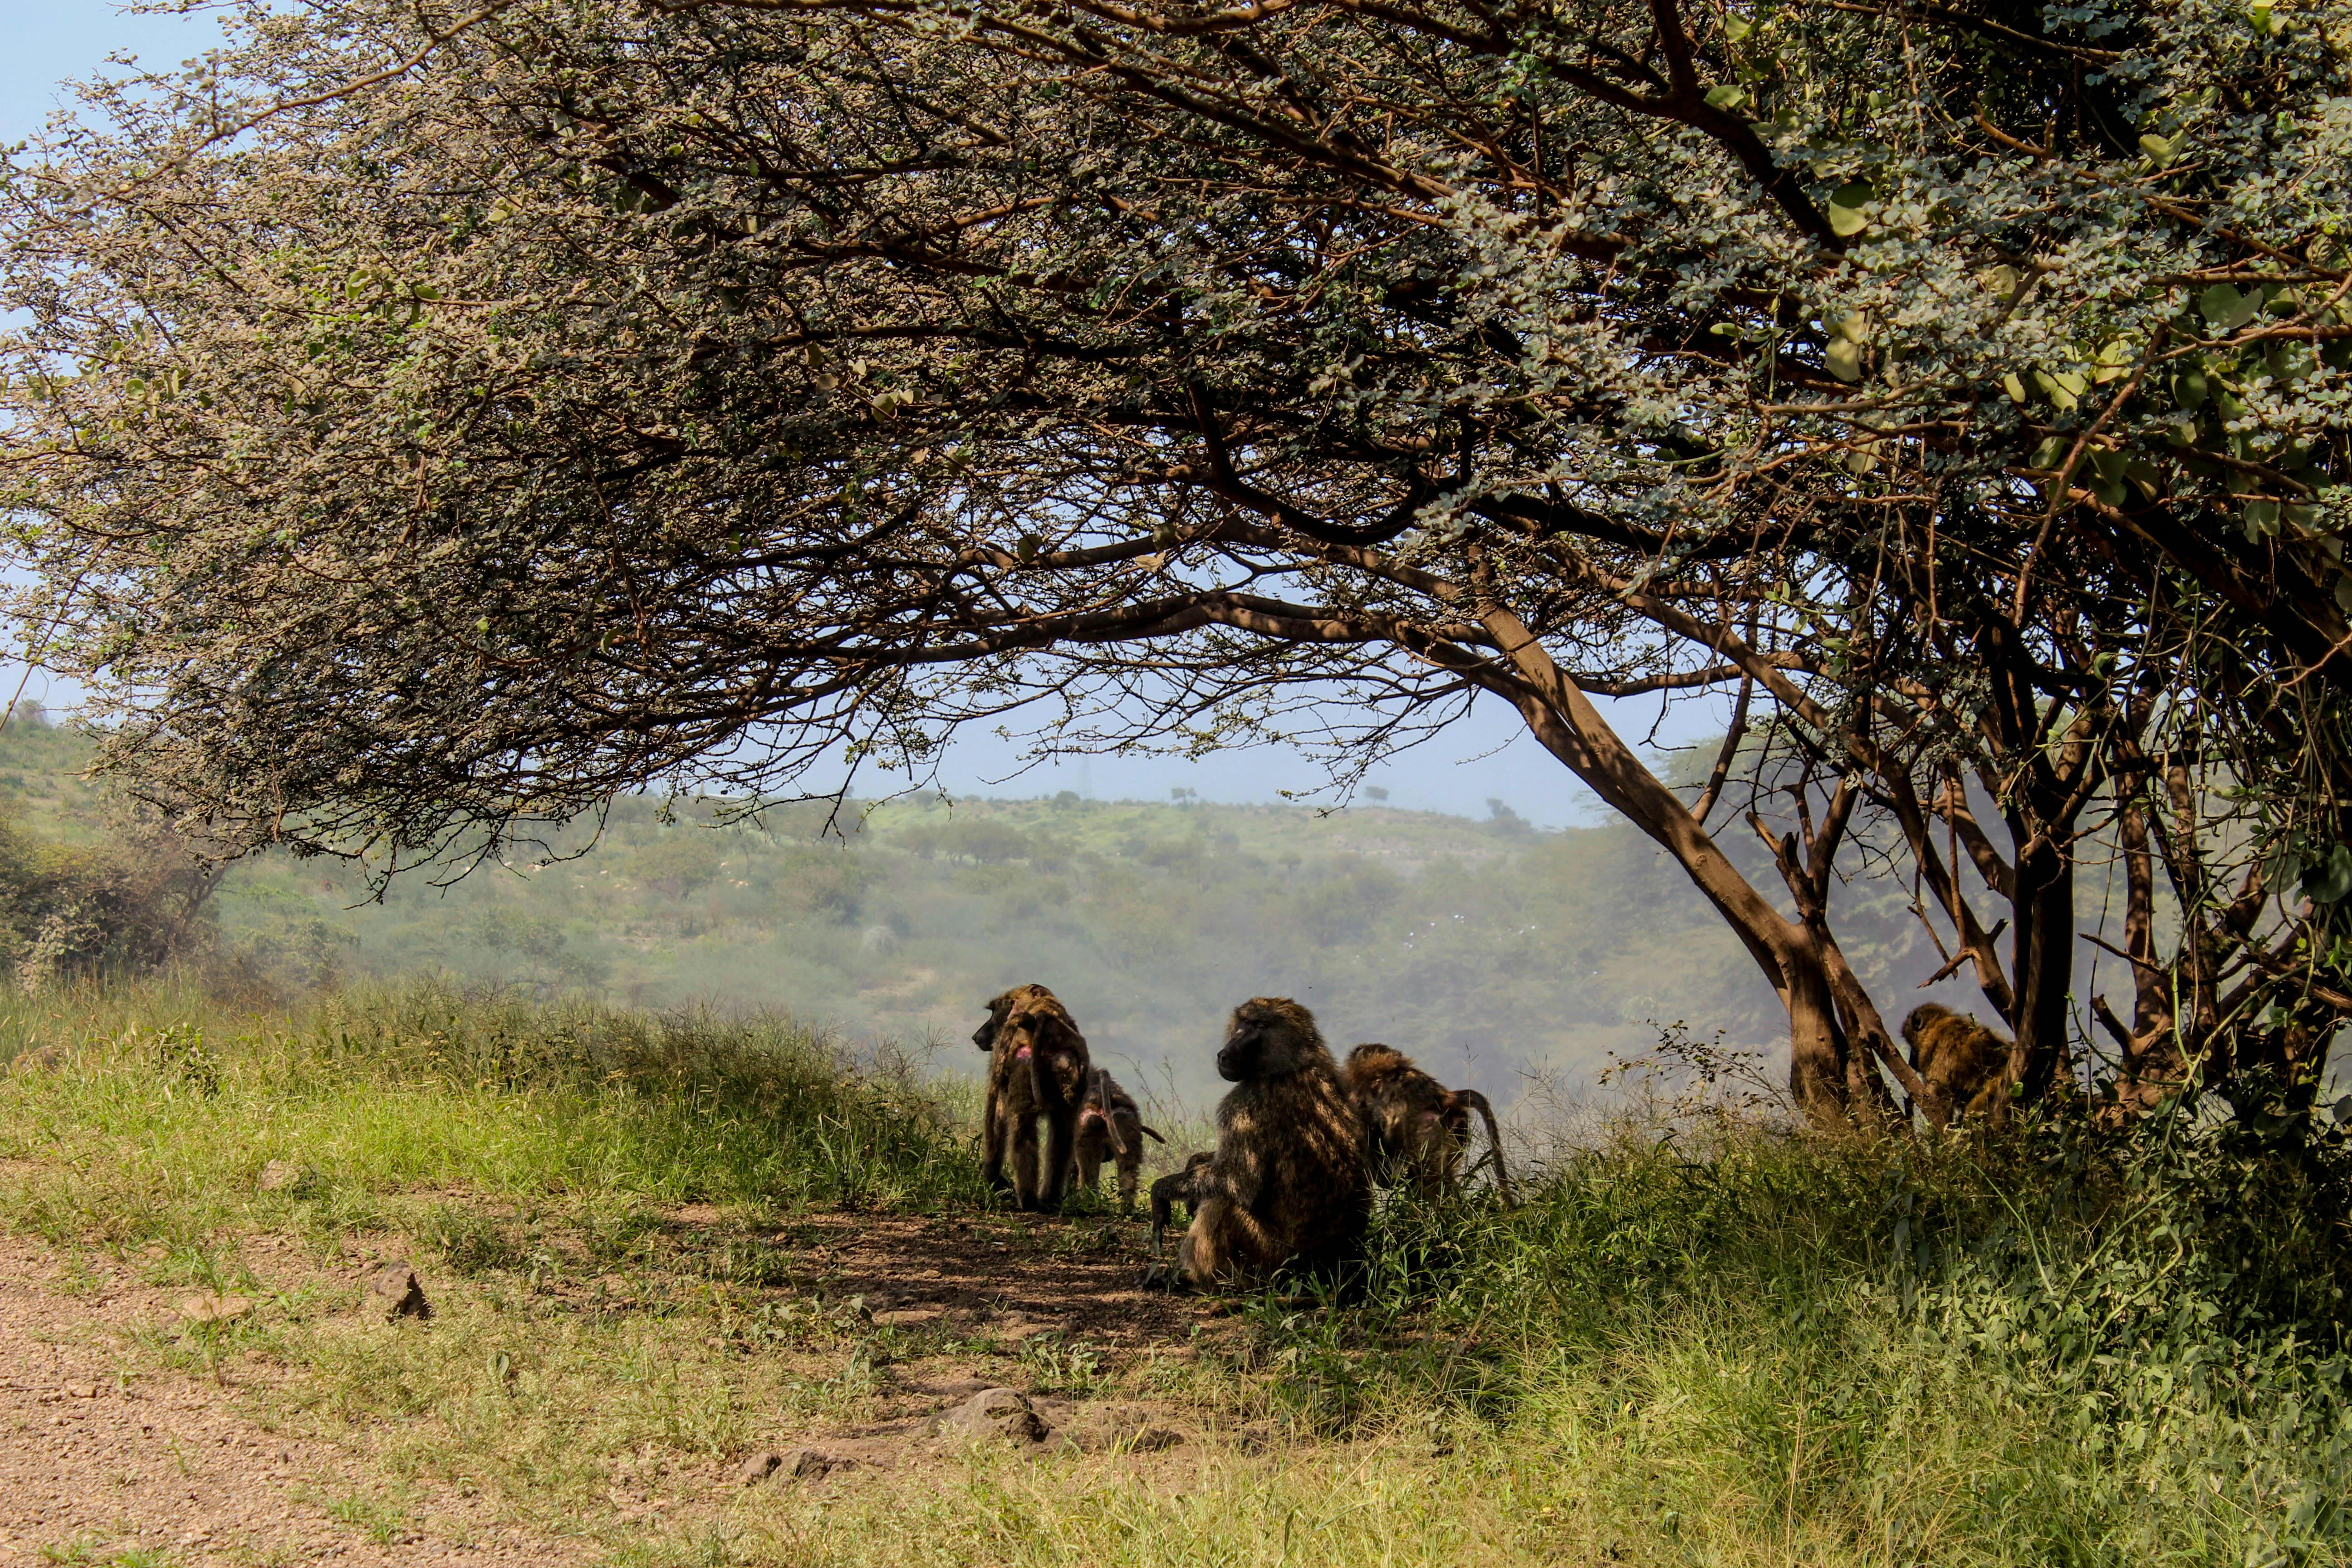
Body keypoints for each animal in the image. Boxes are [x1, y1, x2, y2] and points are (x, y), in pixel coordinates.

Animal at [972, 983, 1092, 1211]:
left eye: (995, 1011)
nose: (977, 1036)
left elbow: (997, 1115)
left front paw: (994, 1180)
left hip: (1025, 1064)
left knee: (1023, 1130)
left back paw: (1028, 1199)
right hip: (1067, 1068)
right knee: (1063, 1134)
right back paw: (1050, 1199)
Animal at [1066, 1066, 1165, 1212]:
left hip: (1088, 1125)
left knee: (1088, 1173)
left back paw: (1088, 1204)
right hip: (1125, 1119)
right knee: (1129, 1170)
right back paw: (1127, 1208)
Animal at [1177, 998, 1372, 1289]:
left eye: (1258, 1027)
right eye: (1244, 1022)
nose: (1224, 1054)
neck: (1293, 1064)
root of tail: (1333, 1261)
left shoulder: (1244, 1102)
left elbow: (1238, 1181)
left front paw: (1166, 1189)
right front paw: (1196, 1164)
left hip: (1276, 1258)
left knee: (1222, 1203)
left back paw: (1213, 1281)